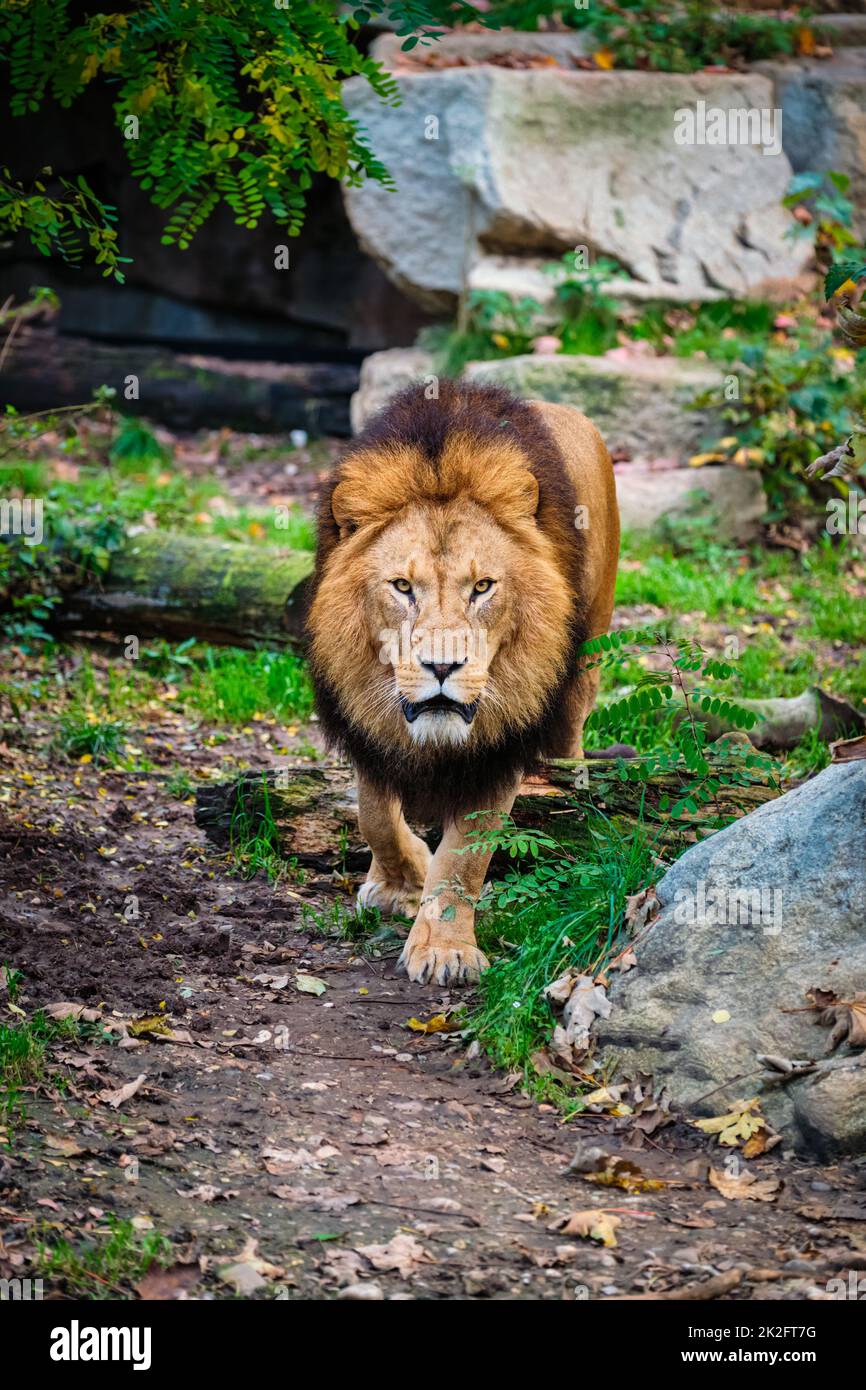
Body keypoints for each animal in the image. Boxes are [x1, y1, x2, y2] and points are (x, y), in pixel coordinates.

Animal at [307, 380, 619, 985]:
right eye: (402, 586)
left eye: (482, 587)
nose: (442, 667)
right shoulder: (365, 723)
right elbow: (374, 814)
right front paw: (399, 884)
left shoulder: (499, 744)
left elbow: (465, 855)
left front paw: (444, 949)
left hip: (591, 641)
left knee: (572, 725)